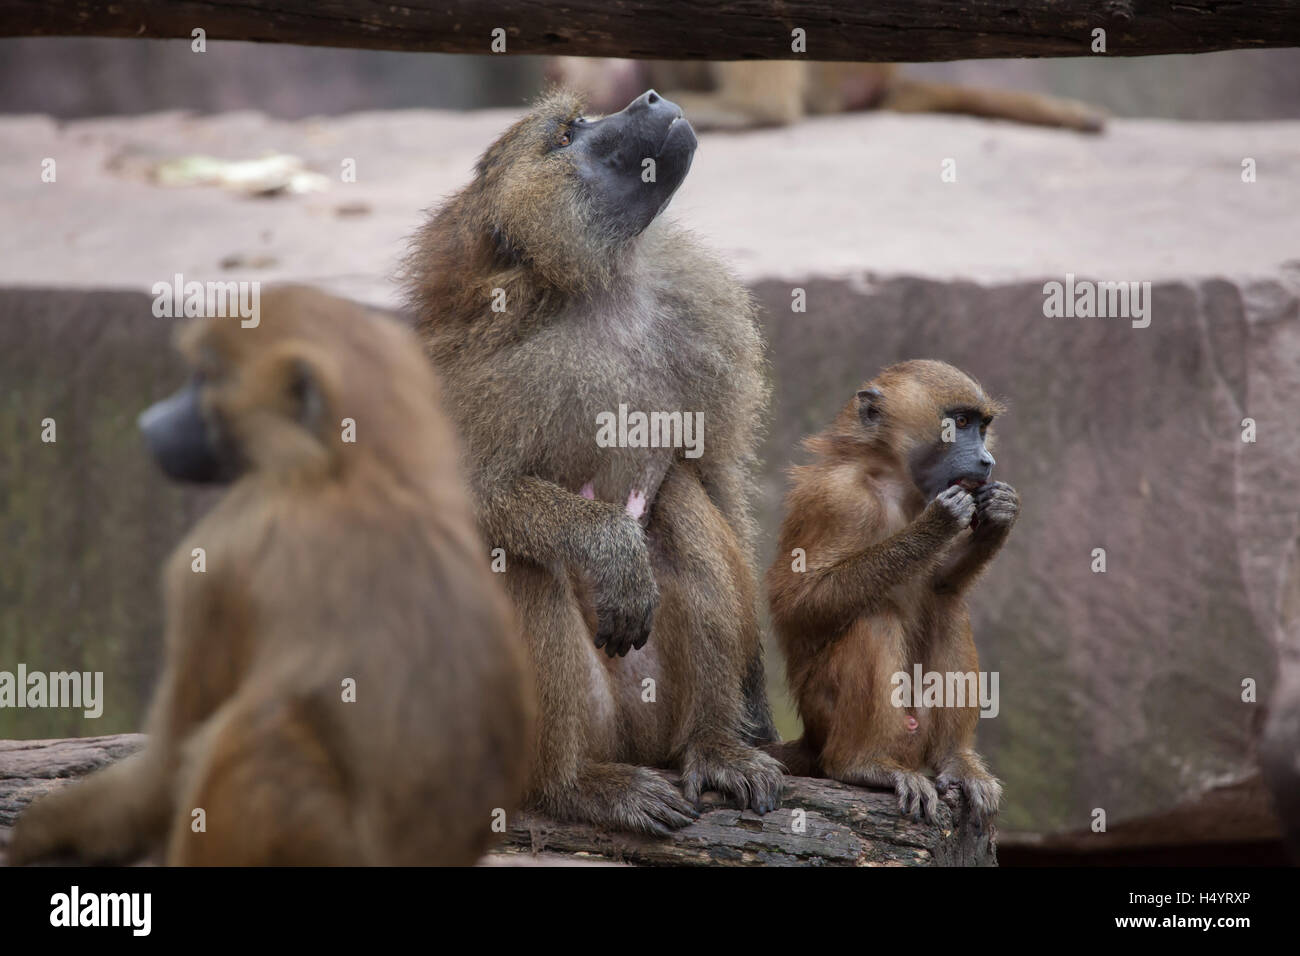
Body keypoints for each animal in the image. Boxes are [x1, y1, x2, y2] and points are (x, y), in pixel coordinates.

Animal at [9, 285, 535, 866]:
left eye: (205, 378)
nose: (149, 423)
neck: (360, 475)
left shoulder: (218, 556)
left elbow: (160, 773)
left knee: (259, 734)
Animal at [402, 89, 782, 836]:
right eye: (565, 135)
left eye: (580, 120)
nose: (650, 96)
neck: (607, 283)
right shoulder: (484, 371)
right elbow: (462, 502)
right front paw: (609, 549)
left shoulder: (702, 311)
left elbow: (716, 476)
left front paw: (757, 710)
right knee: (522, 563)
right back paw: (579, 786)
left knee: (683, 504)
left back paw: (717, 747)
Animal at [764, 360, 1016, 824]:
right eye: (960, 422)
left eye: (982, 426)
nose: (987, 460)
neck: (892, 479)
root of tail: (812, 738)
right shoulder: (838, 500)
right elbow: (797, 605)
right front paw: (936, 524)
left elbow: (941, 586)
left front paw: (999, 513)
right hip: (828, 714)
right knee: (874, 620)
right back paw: (862, 764)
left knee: (949, 609)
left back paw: (956, 761)